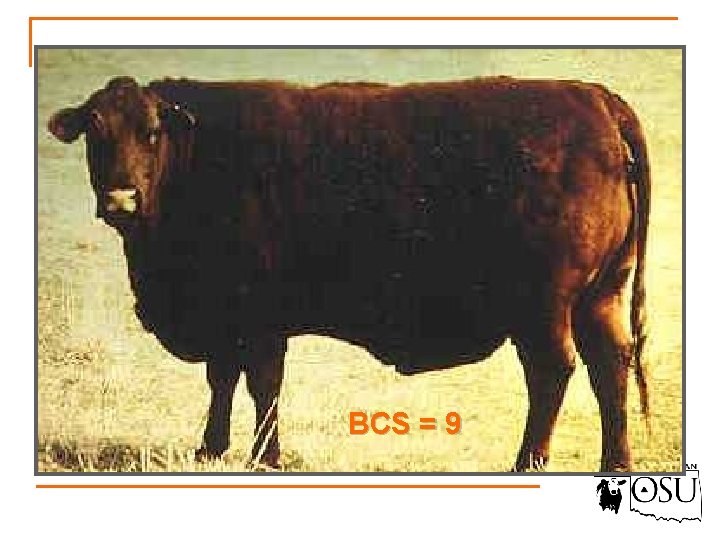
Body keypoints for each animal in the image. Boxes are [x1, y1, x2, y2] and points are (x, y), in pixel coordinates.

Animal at [47, 75, 650, 472]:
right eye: (94, 131)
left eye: (152, 132)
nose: (120, 198)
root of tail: (593, 98)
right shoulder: (226, 315)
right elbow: (223, 380)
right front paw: (210, 448)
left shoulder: (259, 316)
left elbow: (262, 384)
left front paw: (265, 457)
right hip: (601, 295)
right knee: (611, 367)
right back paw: (615, 463)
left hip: (543, 306)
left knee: (552, 371)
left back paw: (527, 462)